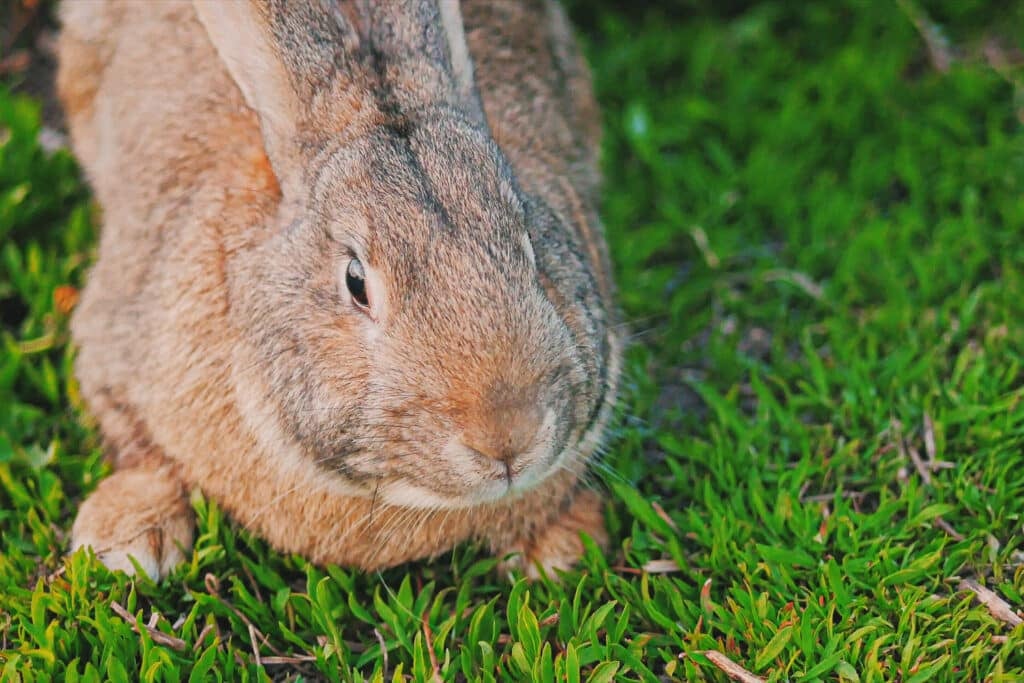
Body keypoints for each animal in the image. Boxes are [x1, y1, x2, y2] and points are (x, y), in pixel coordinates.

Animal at [56, 0, 622, 581]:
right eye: (356, 282)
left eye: (530, 237)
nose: (507, 437)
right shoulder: (115, 339)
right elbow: (138, 448)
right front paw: (127, 539)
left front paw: (558, 547)